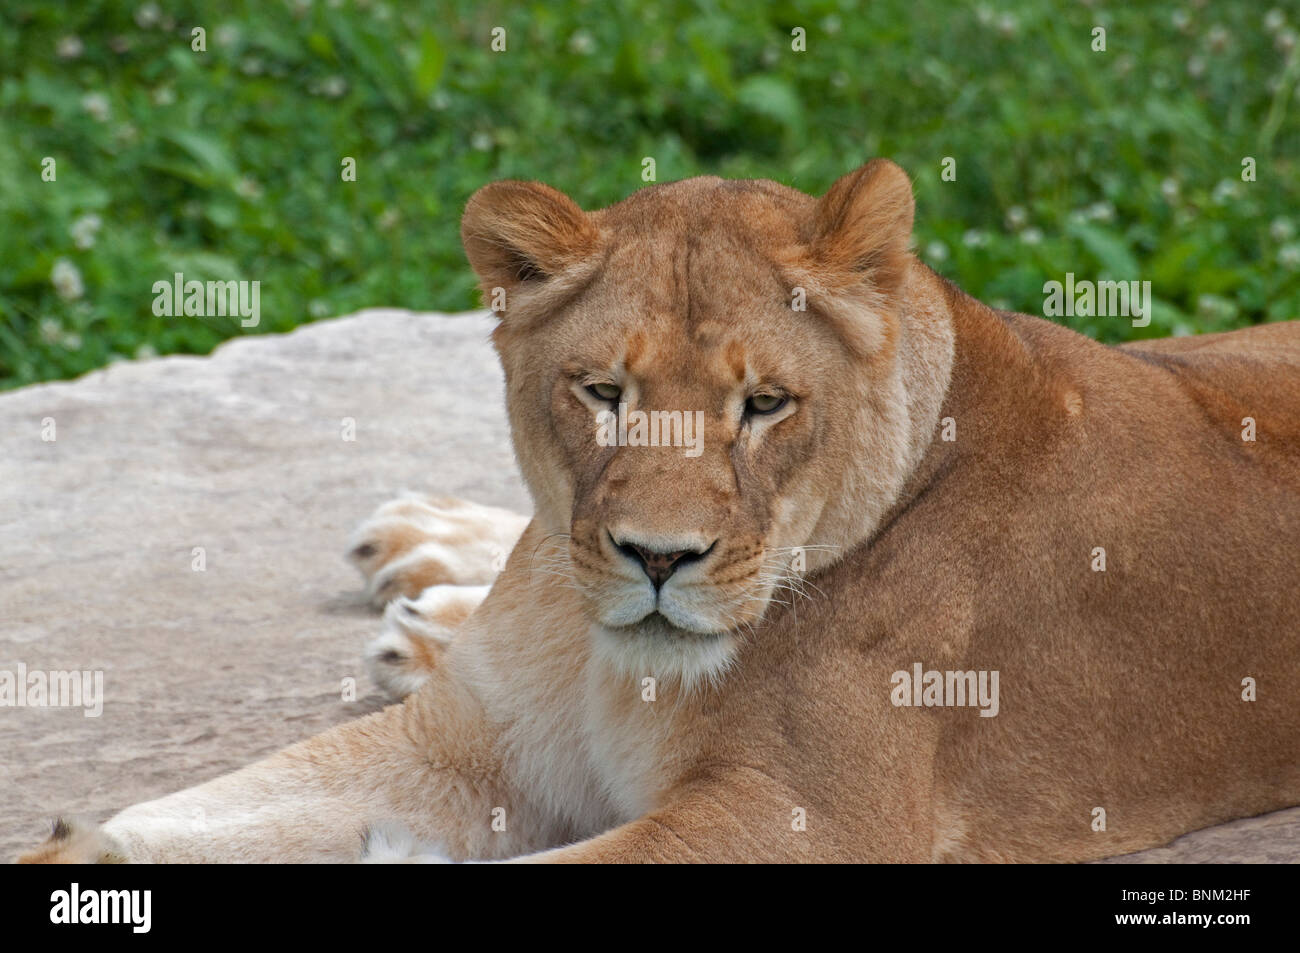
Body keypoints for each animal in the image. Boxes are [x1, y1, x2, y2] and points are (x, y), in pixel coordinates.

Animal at [19, 159, 1300, 863]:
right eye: (603, 392)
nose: (654, 557)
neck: (603, 659)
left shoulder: (800, 823)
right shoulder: (457, 750)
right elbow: (203, 815)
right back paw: (425, 564)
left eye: (765, 404)